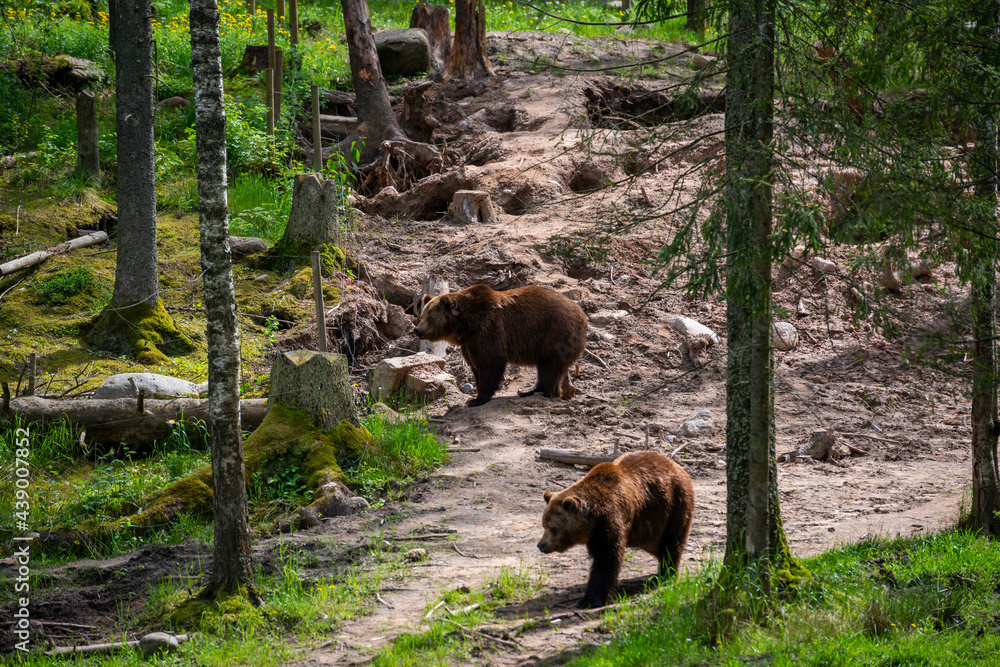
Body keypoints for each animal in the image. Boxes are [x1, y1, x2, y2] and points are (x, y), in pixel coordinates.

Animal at [413, 284, 588, 407]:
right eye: (422, 315)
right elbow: (476, 367)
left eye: (431, 317)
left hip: (555, 335)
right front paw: (475, 395)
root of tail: (582, 315)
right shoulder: (469, 344)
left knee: (550, 366)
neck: (467, 326)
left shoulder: (488, 330)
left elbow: (491, 363)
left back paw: (537, 391)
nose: (417, 329)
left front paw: (477, 399)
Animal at [537, 451, 694, 608]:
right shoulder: (596, 533)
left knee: (671, 543)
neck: (594, 520)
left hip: (674, 506)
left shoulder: (612, 520)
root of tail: (678, 467)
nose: (541, 544)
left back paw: (665, 574)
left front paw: (589, 600)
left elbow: (606, 559)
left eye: (554, 528)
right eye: (544, 525)